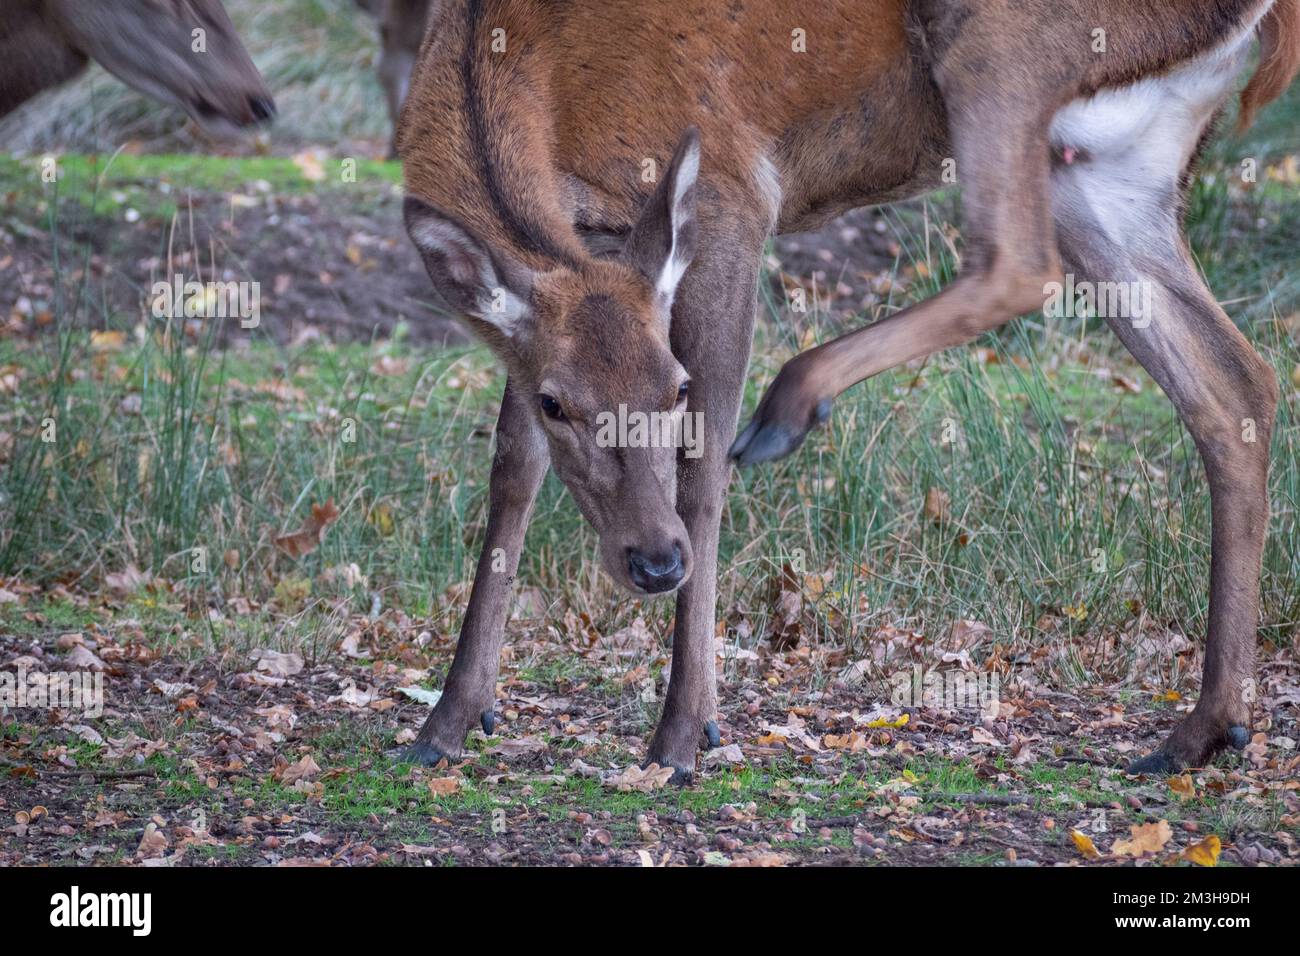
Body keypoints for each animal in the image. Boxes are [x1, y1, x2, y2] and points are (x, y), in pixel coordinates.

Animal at [396, 0, 1300, 783]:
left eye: (676, 387)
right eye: (558, 403)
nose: (655, 563)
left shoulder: (731, 193)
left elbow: (702, 476)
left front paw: (685, 733)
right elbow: (513, 468)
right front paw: (448, 721)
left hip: (1003, 51)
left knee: (1019, 265)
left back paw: (791, 403)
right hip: (1106, 168)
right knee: (1234, 382)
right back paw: (1202, 729)